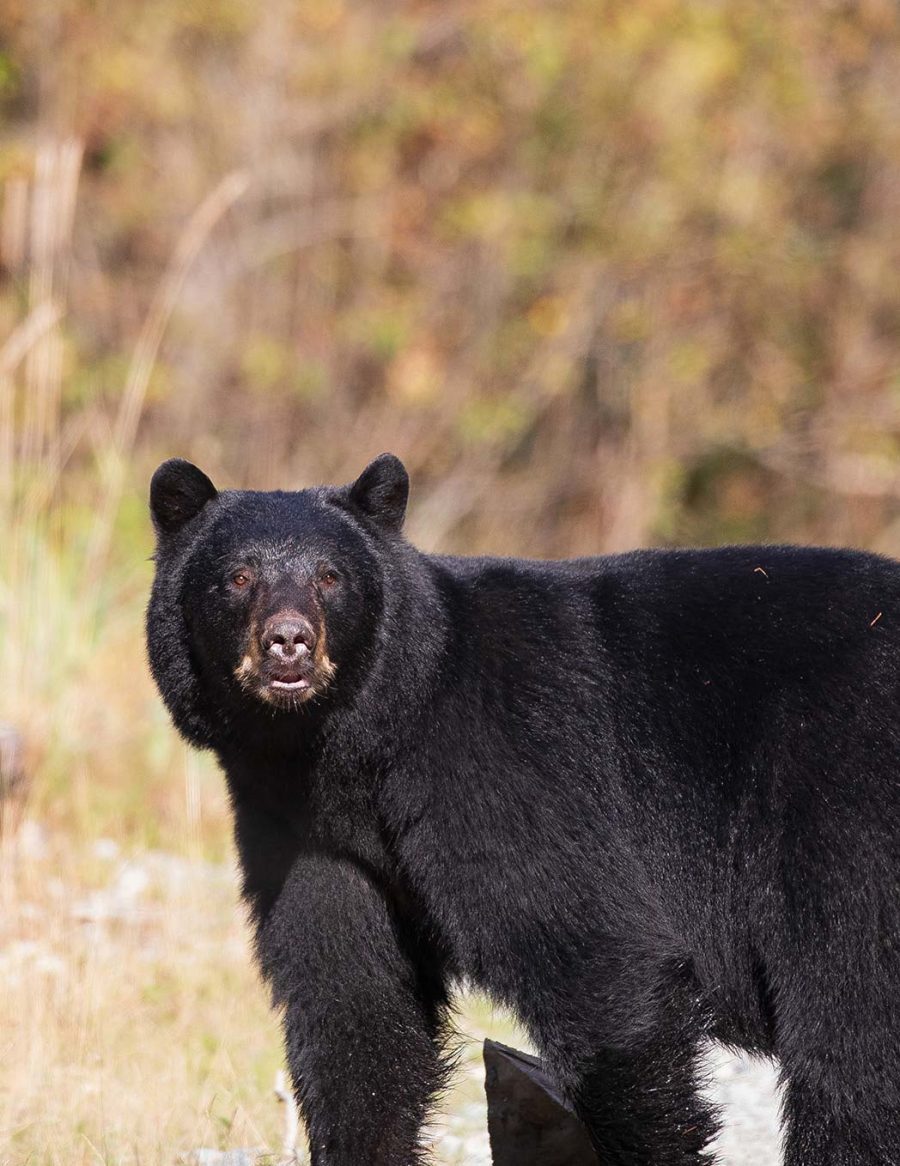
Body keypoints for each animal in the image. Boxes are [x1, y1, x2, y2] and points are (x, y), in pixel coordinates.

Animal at [146, 452, 900, 1166]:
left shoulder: (506, 768)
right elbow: (354, 1008)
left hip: (838, 800)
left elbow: (597, 959)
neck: (340, 747)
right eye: (238, 577)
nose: (289, 641)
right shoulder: (310, 832)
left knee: (850, 1028)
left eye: (332, 577)